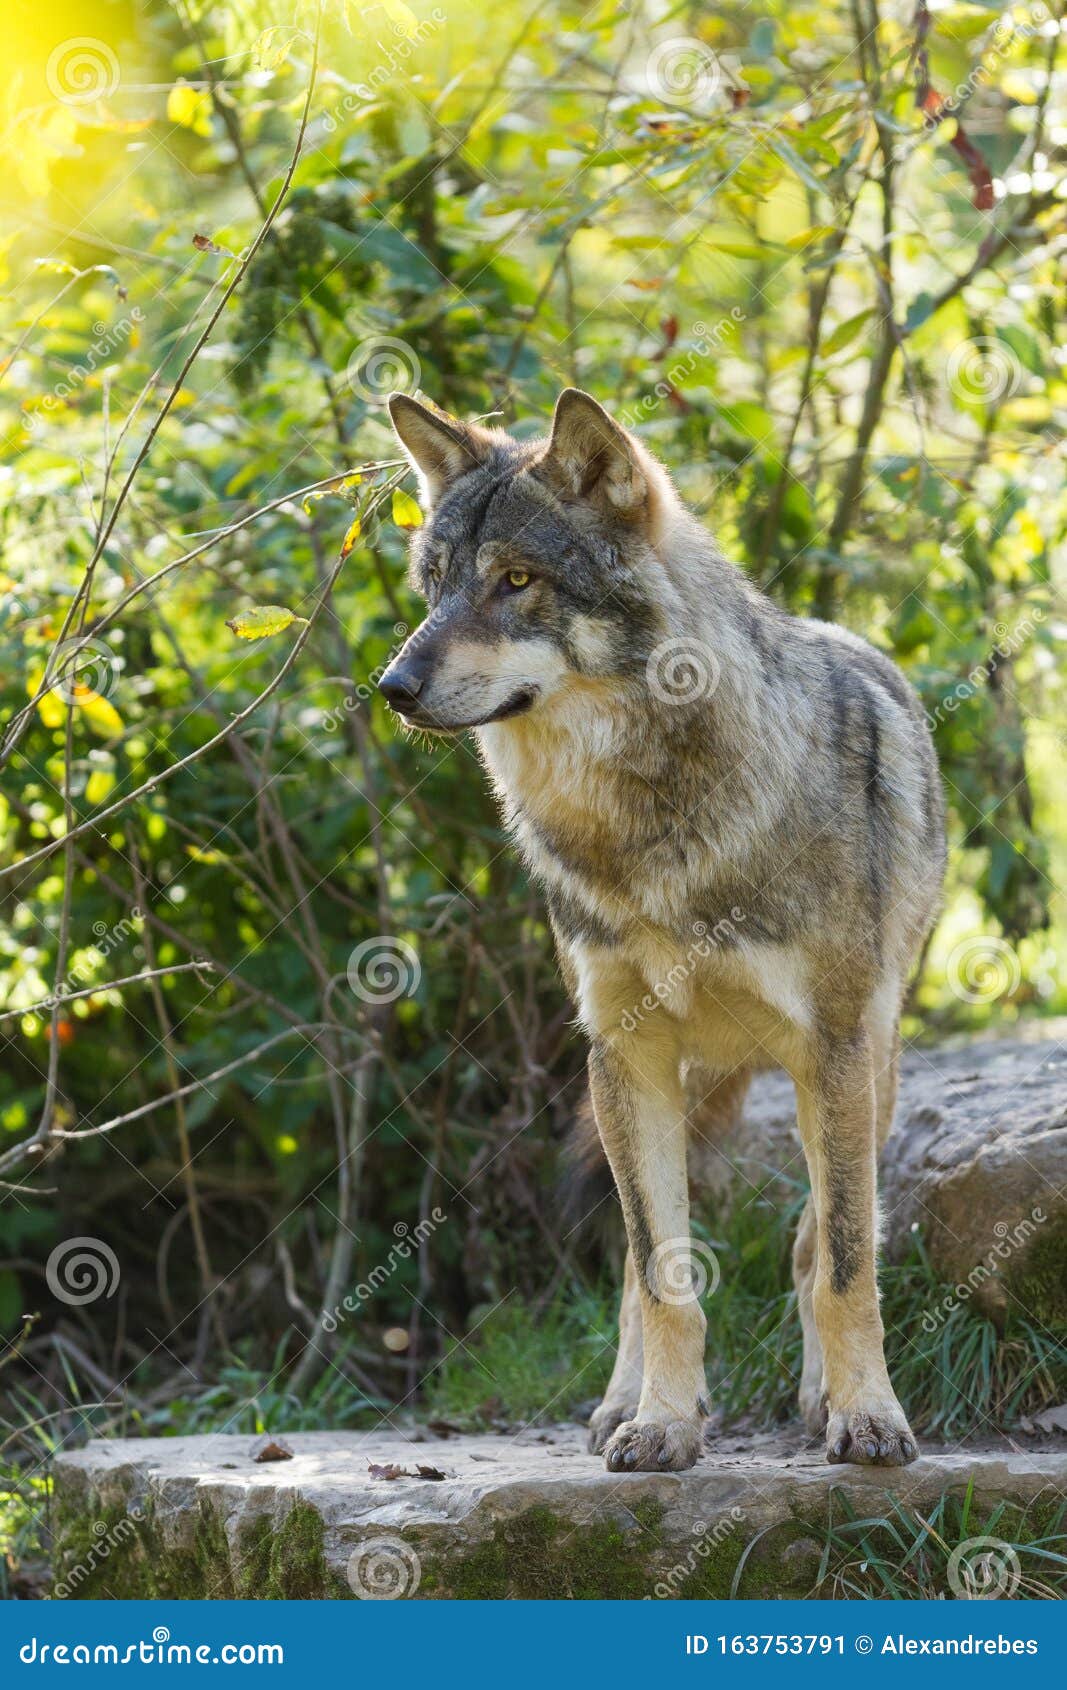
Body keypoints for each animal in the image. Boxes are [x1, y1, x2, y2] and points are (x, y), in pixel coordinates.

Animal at [381, 388, 946, 1473]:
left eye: (516, 581)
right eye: (432, 587)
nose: (393, 685)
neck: (643, 835)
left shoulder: (835, 1049)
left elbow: (843, 1262)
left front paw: (866, 1416)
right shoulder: (623, 1052)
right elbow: (658, 1276)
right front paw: (661, 1424)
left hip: (869, 1069)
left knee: (812, 1238)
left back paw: (820, 1396)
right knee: (639, 1268)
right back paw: (618, 1404)